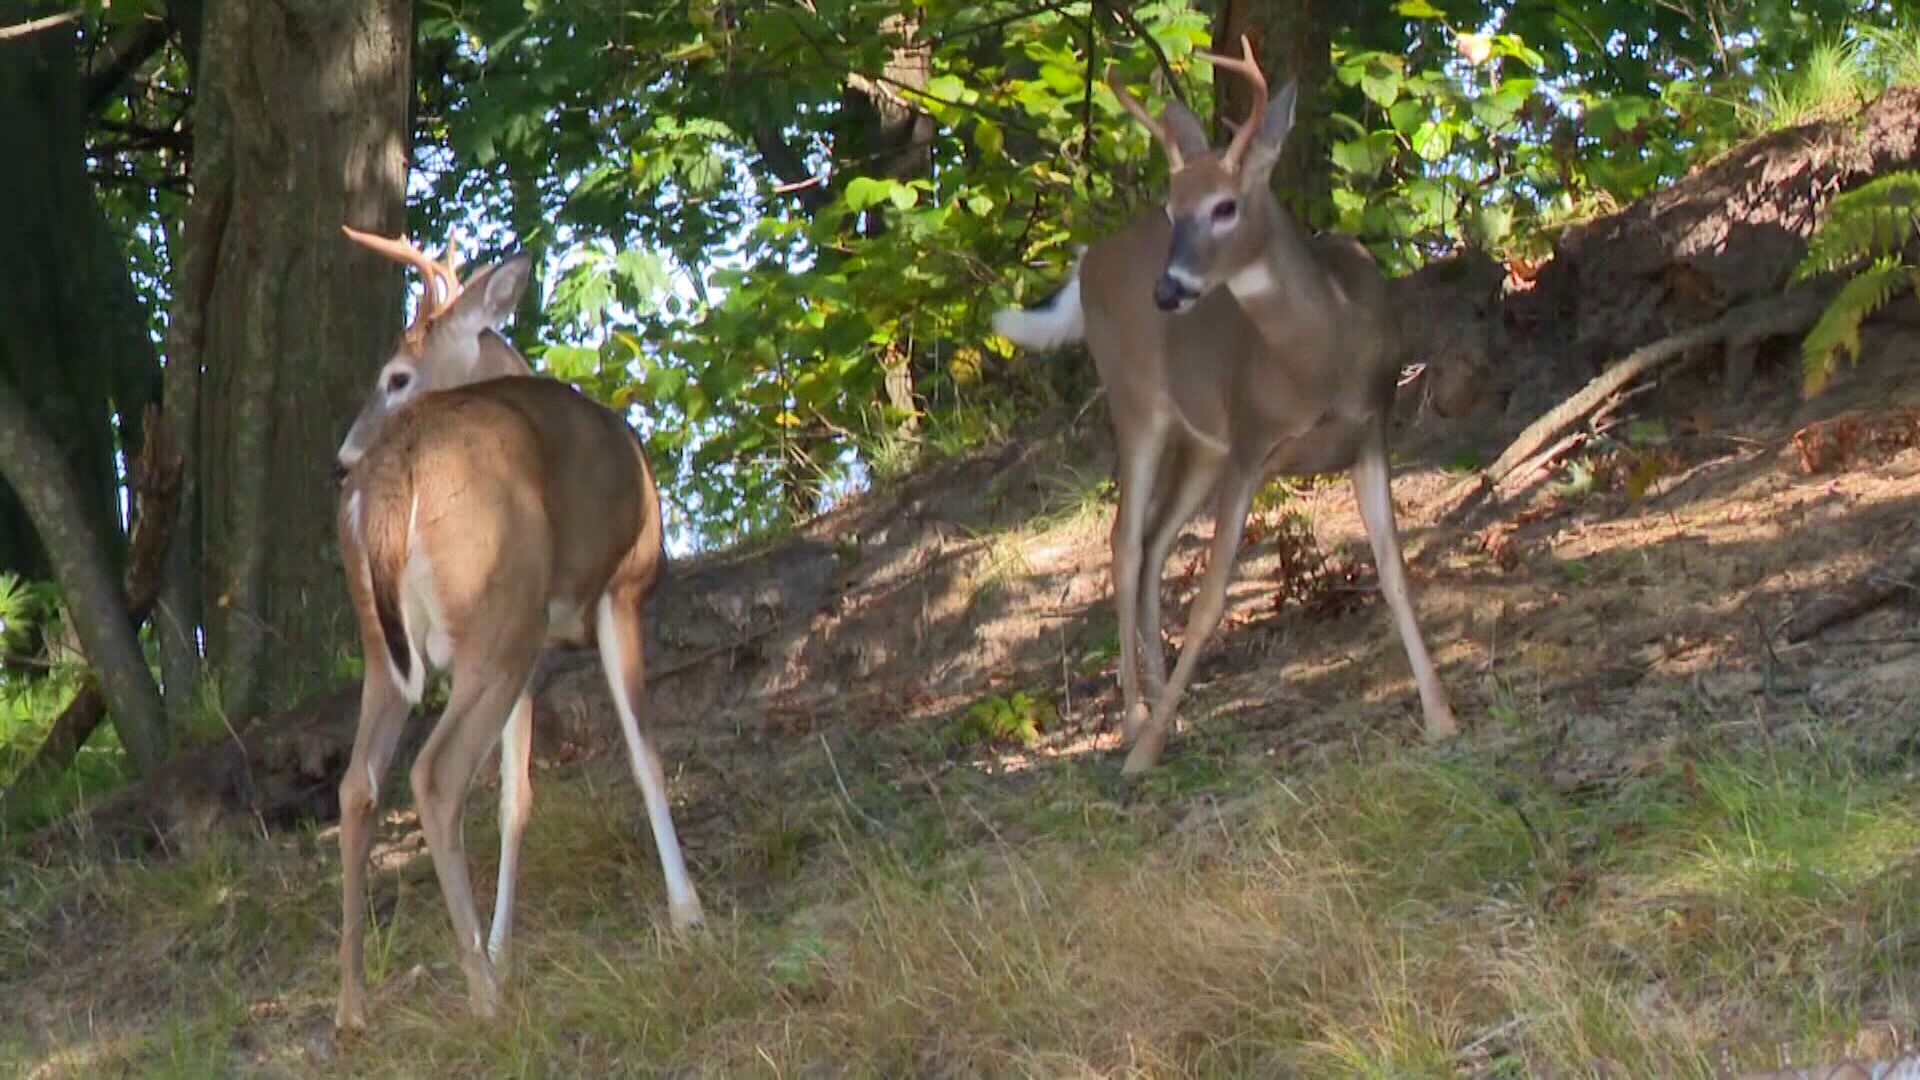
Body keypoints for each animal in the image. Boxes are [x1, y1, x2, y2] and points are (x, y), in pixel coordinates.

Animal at [330, 226, 704, 1030]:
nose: (338, 460)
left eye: (397, 375)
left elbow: (515, 800)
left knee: (357, 785)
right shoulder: (621, 587)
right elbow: (646, 755)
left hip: (393, 648)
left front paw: (503, 945)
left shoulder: (537, 655)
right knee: (435, 776)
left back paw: (353, 1006)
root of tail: (393, 473)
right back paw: (483, 997)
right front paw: (689, 914)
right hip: (495, 616)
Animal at [991, 38, 1458, 775]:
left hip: (1198, 444)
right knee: (1124, 539)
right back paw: (1137, 720)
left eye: (1225, 206)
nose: (1168, 289)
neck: (1322, 360)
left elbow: (1394, 566)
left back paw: (1165, 706)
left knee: (1154, 541)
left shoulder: (1369, 431)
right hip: (1136, 401)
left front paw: (1442, 716)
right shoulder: (1249, 441)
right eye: (1171, 210)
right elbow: (1210, 598)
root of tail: (1088, 259)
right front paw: (1144, 753)